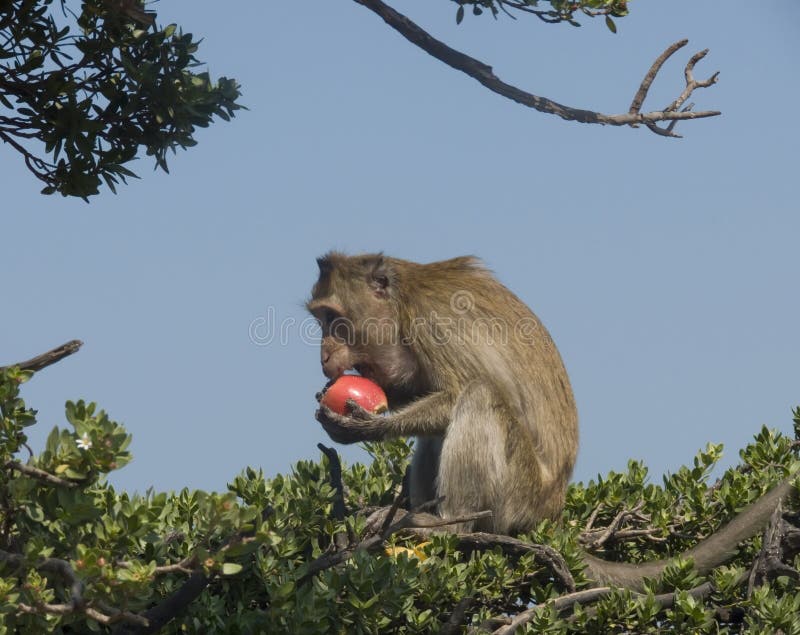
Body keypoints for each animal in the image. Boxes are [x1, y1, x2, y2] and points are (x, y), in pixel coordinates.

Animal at [309, 251, 796, 590]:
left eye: (334, 321)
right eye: (319, 320)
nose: (324, 356)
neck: (403, 302)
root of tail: (553, 509)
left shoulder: (434, 322)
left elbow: (456, 392)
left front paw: (362, 427)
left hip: (518, 494)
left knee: (480, 396)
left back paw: (448, 524)